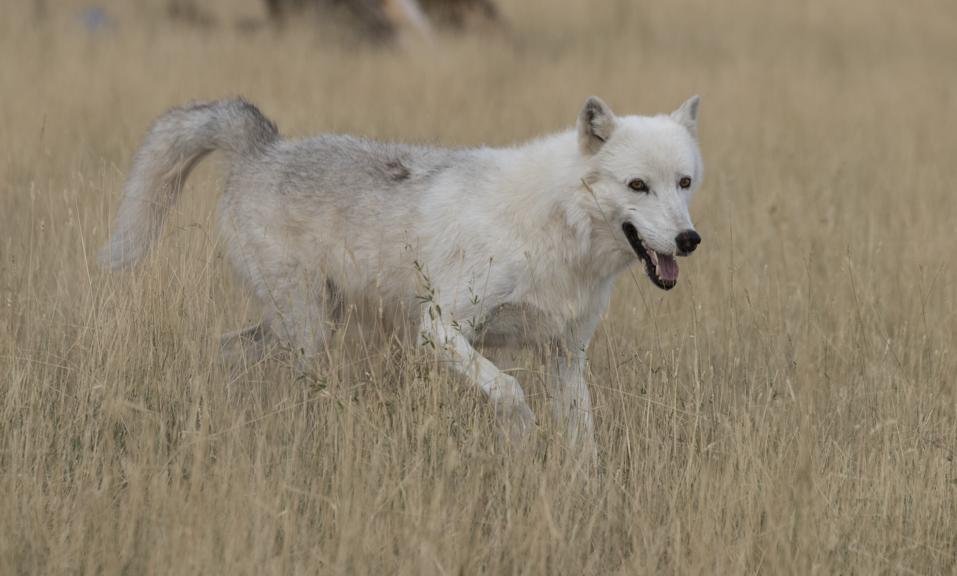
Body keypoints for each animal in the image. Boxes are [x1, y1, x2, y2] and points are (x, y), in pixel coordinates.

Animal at [99, 95, 704, 450]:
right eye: (637, 186)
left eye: (684, 183)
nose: (688, 240)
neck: (555, 225)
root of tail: (264, 147)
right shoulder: (437, 331)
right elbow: (510, 392)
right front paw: (522, 441)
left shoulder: (565, 356)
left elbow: (584, 442)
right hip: (309, 331)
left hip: (298, 327)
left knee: (225, 350)